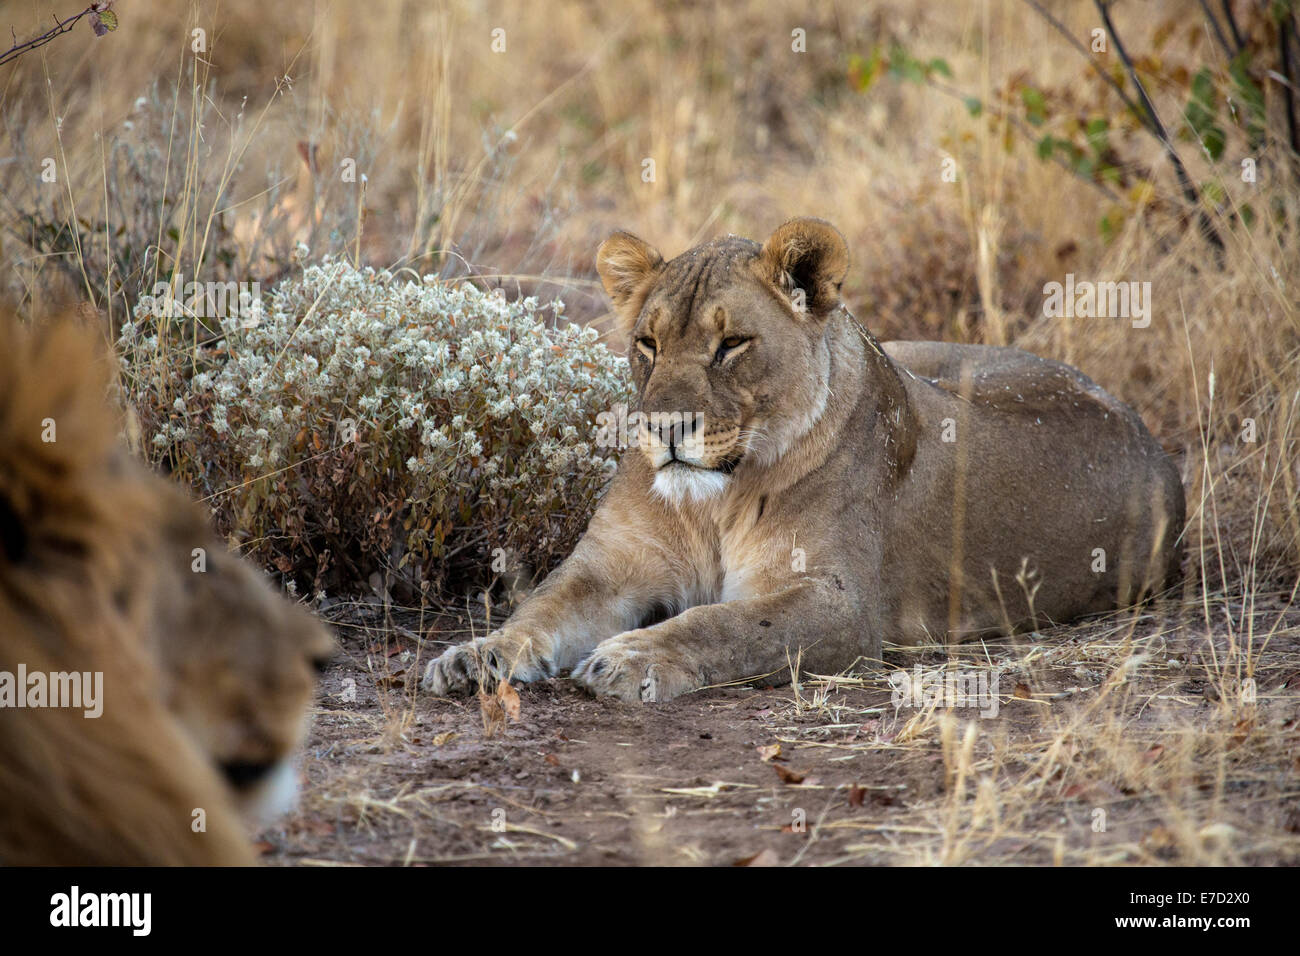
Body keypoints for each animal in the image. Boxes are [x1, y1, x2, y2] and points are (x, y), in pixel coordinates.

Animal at [422, 218, 1185, 703]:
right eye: (647, 342)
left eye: (731, 344)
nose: (662, 426)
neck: (713, 504)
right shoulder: (610, 564)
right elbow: (542, 607)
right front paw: (476, 655)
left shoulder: (839, 602)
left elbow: (723, 623)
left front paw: (633, 656)